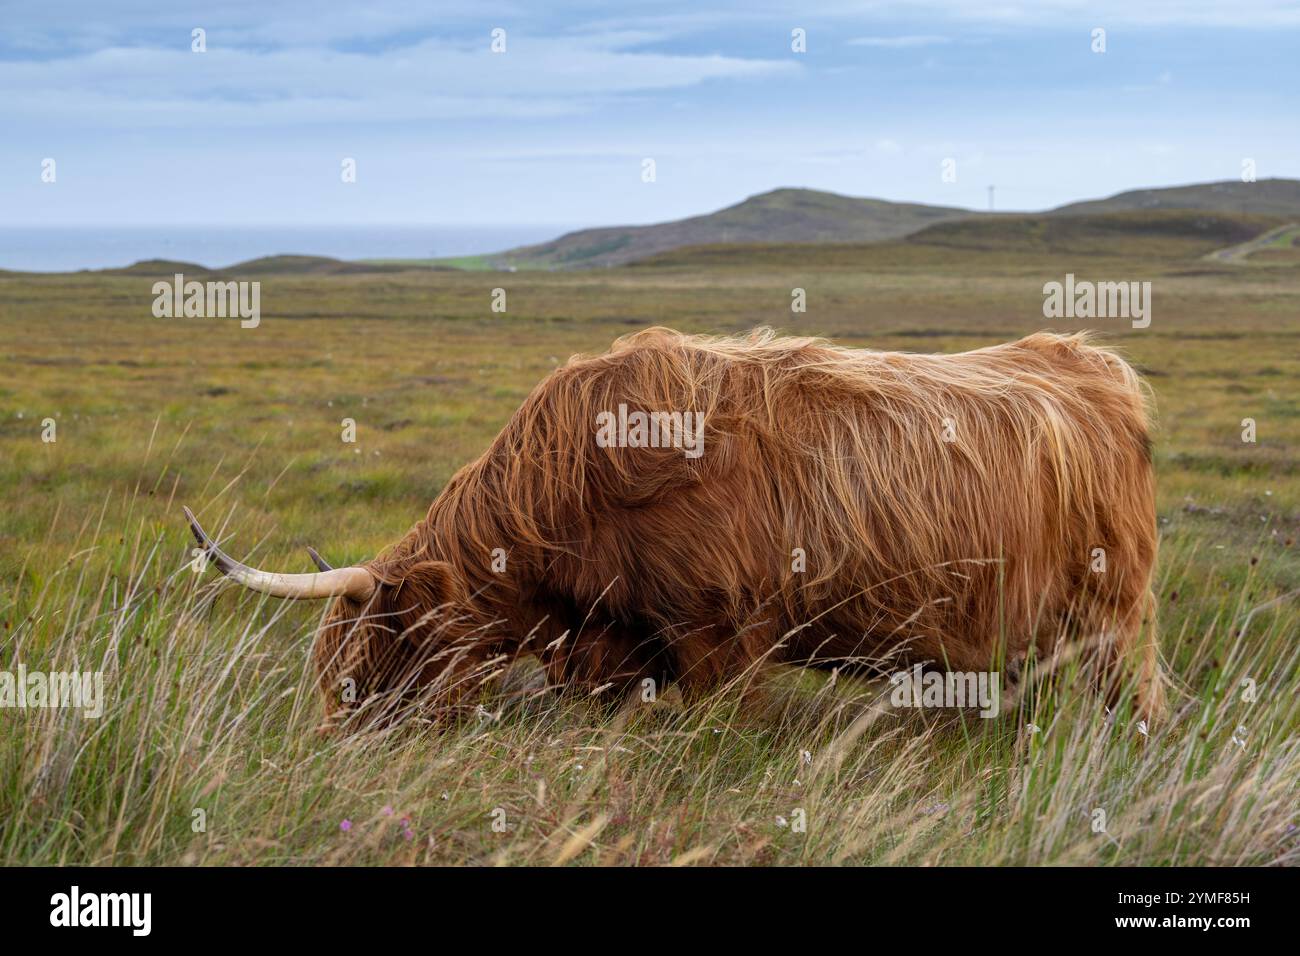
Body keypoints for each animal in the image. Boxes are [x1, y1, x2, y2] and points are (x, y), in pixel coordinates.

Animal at [185, 327, 1165, 726]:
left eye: (374, 661)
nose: (336, 748)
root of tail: (1093, 363)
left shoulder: (718, 632)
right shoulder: (617, 646)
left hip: (1113, 613)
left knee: (1135, 700)